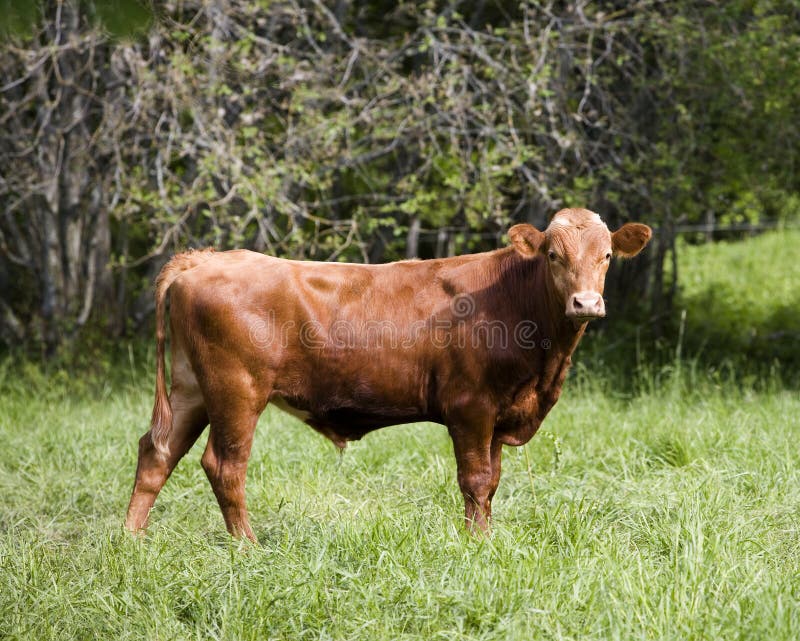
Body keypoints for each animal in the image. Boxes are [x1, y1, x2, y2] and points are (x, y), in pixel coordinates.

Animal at [125, 208, 651, 540]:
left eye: (606, 256)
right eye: (553, 255)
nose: (586, 303)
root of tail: (205, 258)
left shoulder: (500, 415)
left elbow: (492, 482)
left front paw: (486, 536)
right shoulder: (471, 408)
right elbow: (476, 480)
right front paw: (477, 545)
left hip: (192, 387)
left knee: (157, 452)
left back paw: (131, 540)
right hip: (237, 390)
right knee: (225, 465)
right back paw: (247, 546)